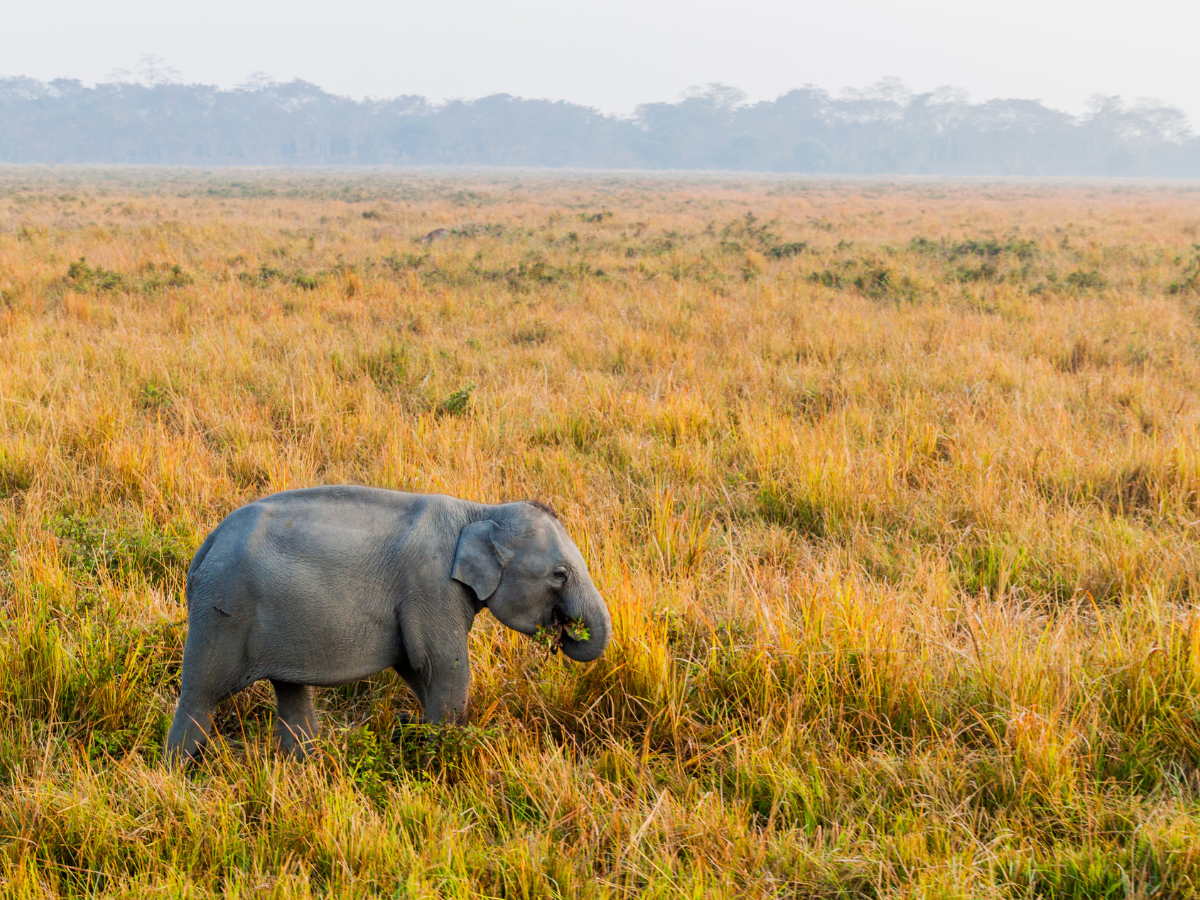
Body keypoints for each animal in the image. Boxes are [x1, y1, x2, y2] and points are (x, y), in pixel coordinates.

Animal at [165, 486, 611, 763]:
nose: (564, 631)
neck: (479, 511)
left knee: (290, 690)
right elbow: (442, 666)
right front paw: (437, 758)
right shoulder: (431, 585)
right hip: (223, 611)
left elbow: (415, 667)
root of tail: (205, 547)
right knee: (200, 696)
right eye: (559, 575)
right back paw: (176, 777)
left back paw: (304, 769)